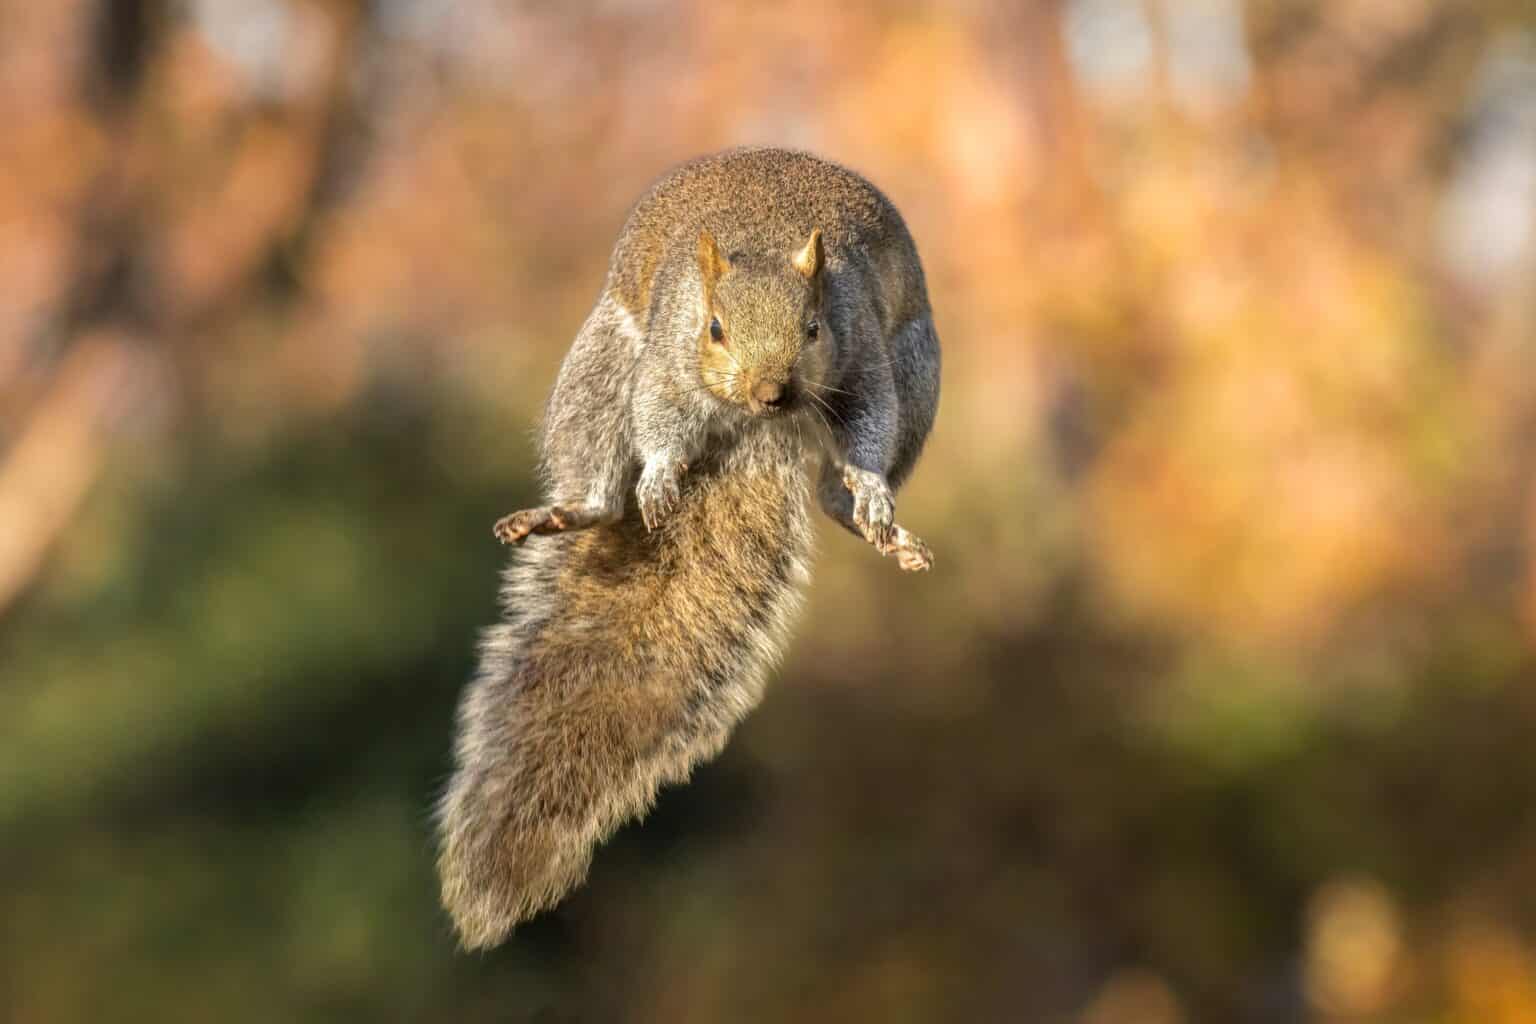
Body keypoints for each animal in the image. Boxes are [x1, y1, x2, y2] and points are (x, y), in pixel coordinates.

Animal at [436, 147, 941, 950]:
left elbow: (868, 427)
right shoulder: (666, 363)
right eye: (714, 328)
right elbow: (661, 417)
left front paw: (869, 485)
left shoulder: (863, 355)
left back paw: (874, 522)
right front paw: (663, 477)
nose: (772, 392)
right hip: (601, 367)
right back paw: (578, 505)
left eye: (814, 328)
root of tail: (761, 432)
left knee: (842, 486)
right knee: (600, 466)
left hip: (918, 369)